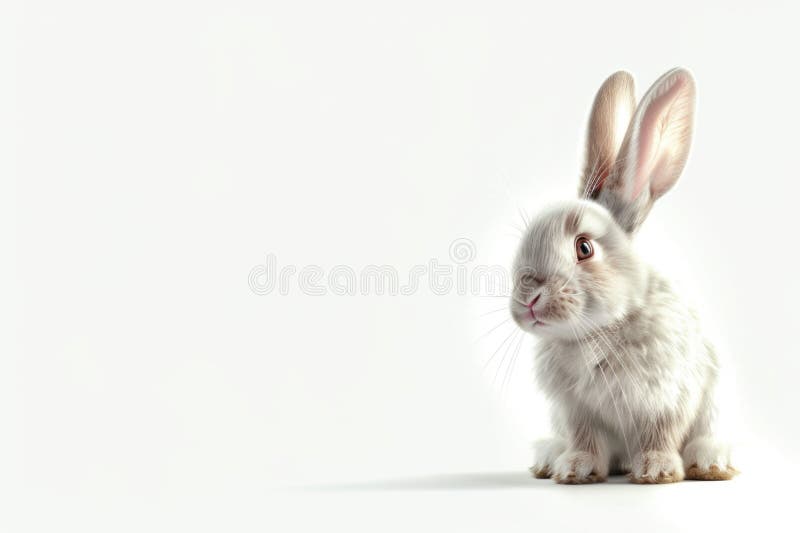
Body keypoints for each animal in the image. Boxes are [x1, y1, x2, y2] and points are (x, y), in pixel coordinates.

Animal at [509, 68, 736, 484]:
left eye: (584, 248)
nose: (527, 300)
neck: (597, 331)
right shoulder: (575, 410)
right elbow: (585, 439)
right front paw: (576, 469)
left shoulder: (670, 395)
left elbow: (662, 433)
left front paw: (657, 470)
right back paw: (549, 457)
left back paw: (710, 462)